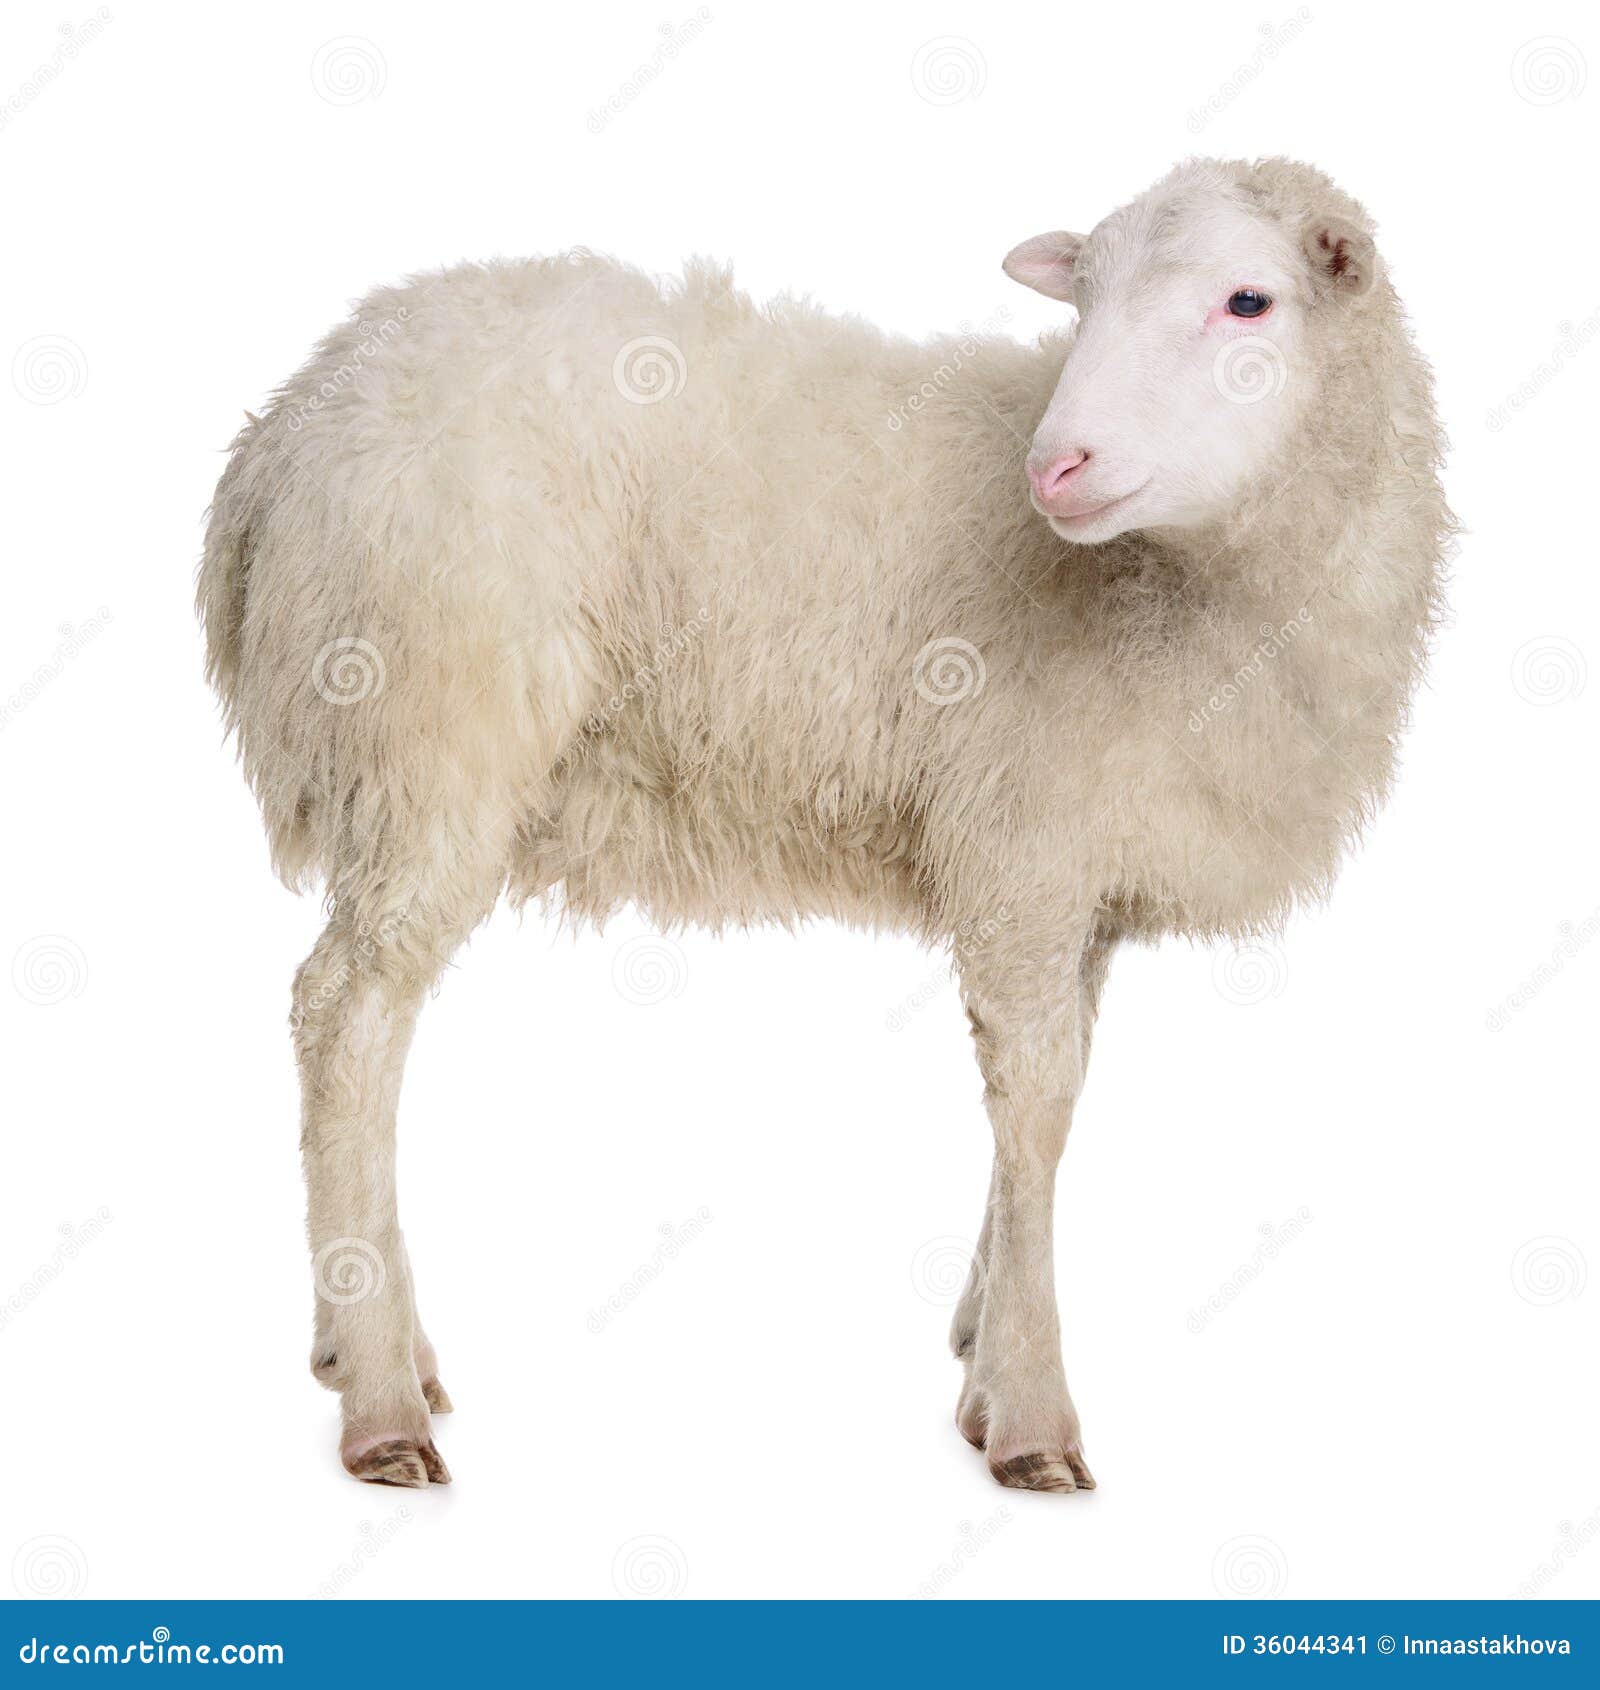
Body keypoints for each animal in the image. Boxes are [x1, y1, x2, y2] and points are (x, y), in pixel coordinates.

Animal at [198, 156, 1450, 1493]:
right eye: (1085, 299)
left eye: (1248, 300)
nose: (1054, 467)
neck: (1186, 590)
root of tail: (288, 425)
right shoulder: (1019, 847)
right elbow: (1037, 1107)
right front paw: (1031, 1412)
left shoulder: (1076, 879)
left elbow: (1053, 1095)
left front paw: (981, 1348)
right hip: (432, 728)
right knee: (348, 1017)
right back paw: (382, 1398)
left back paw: (367, 1346)